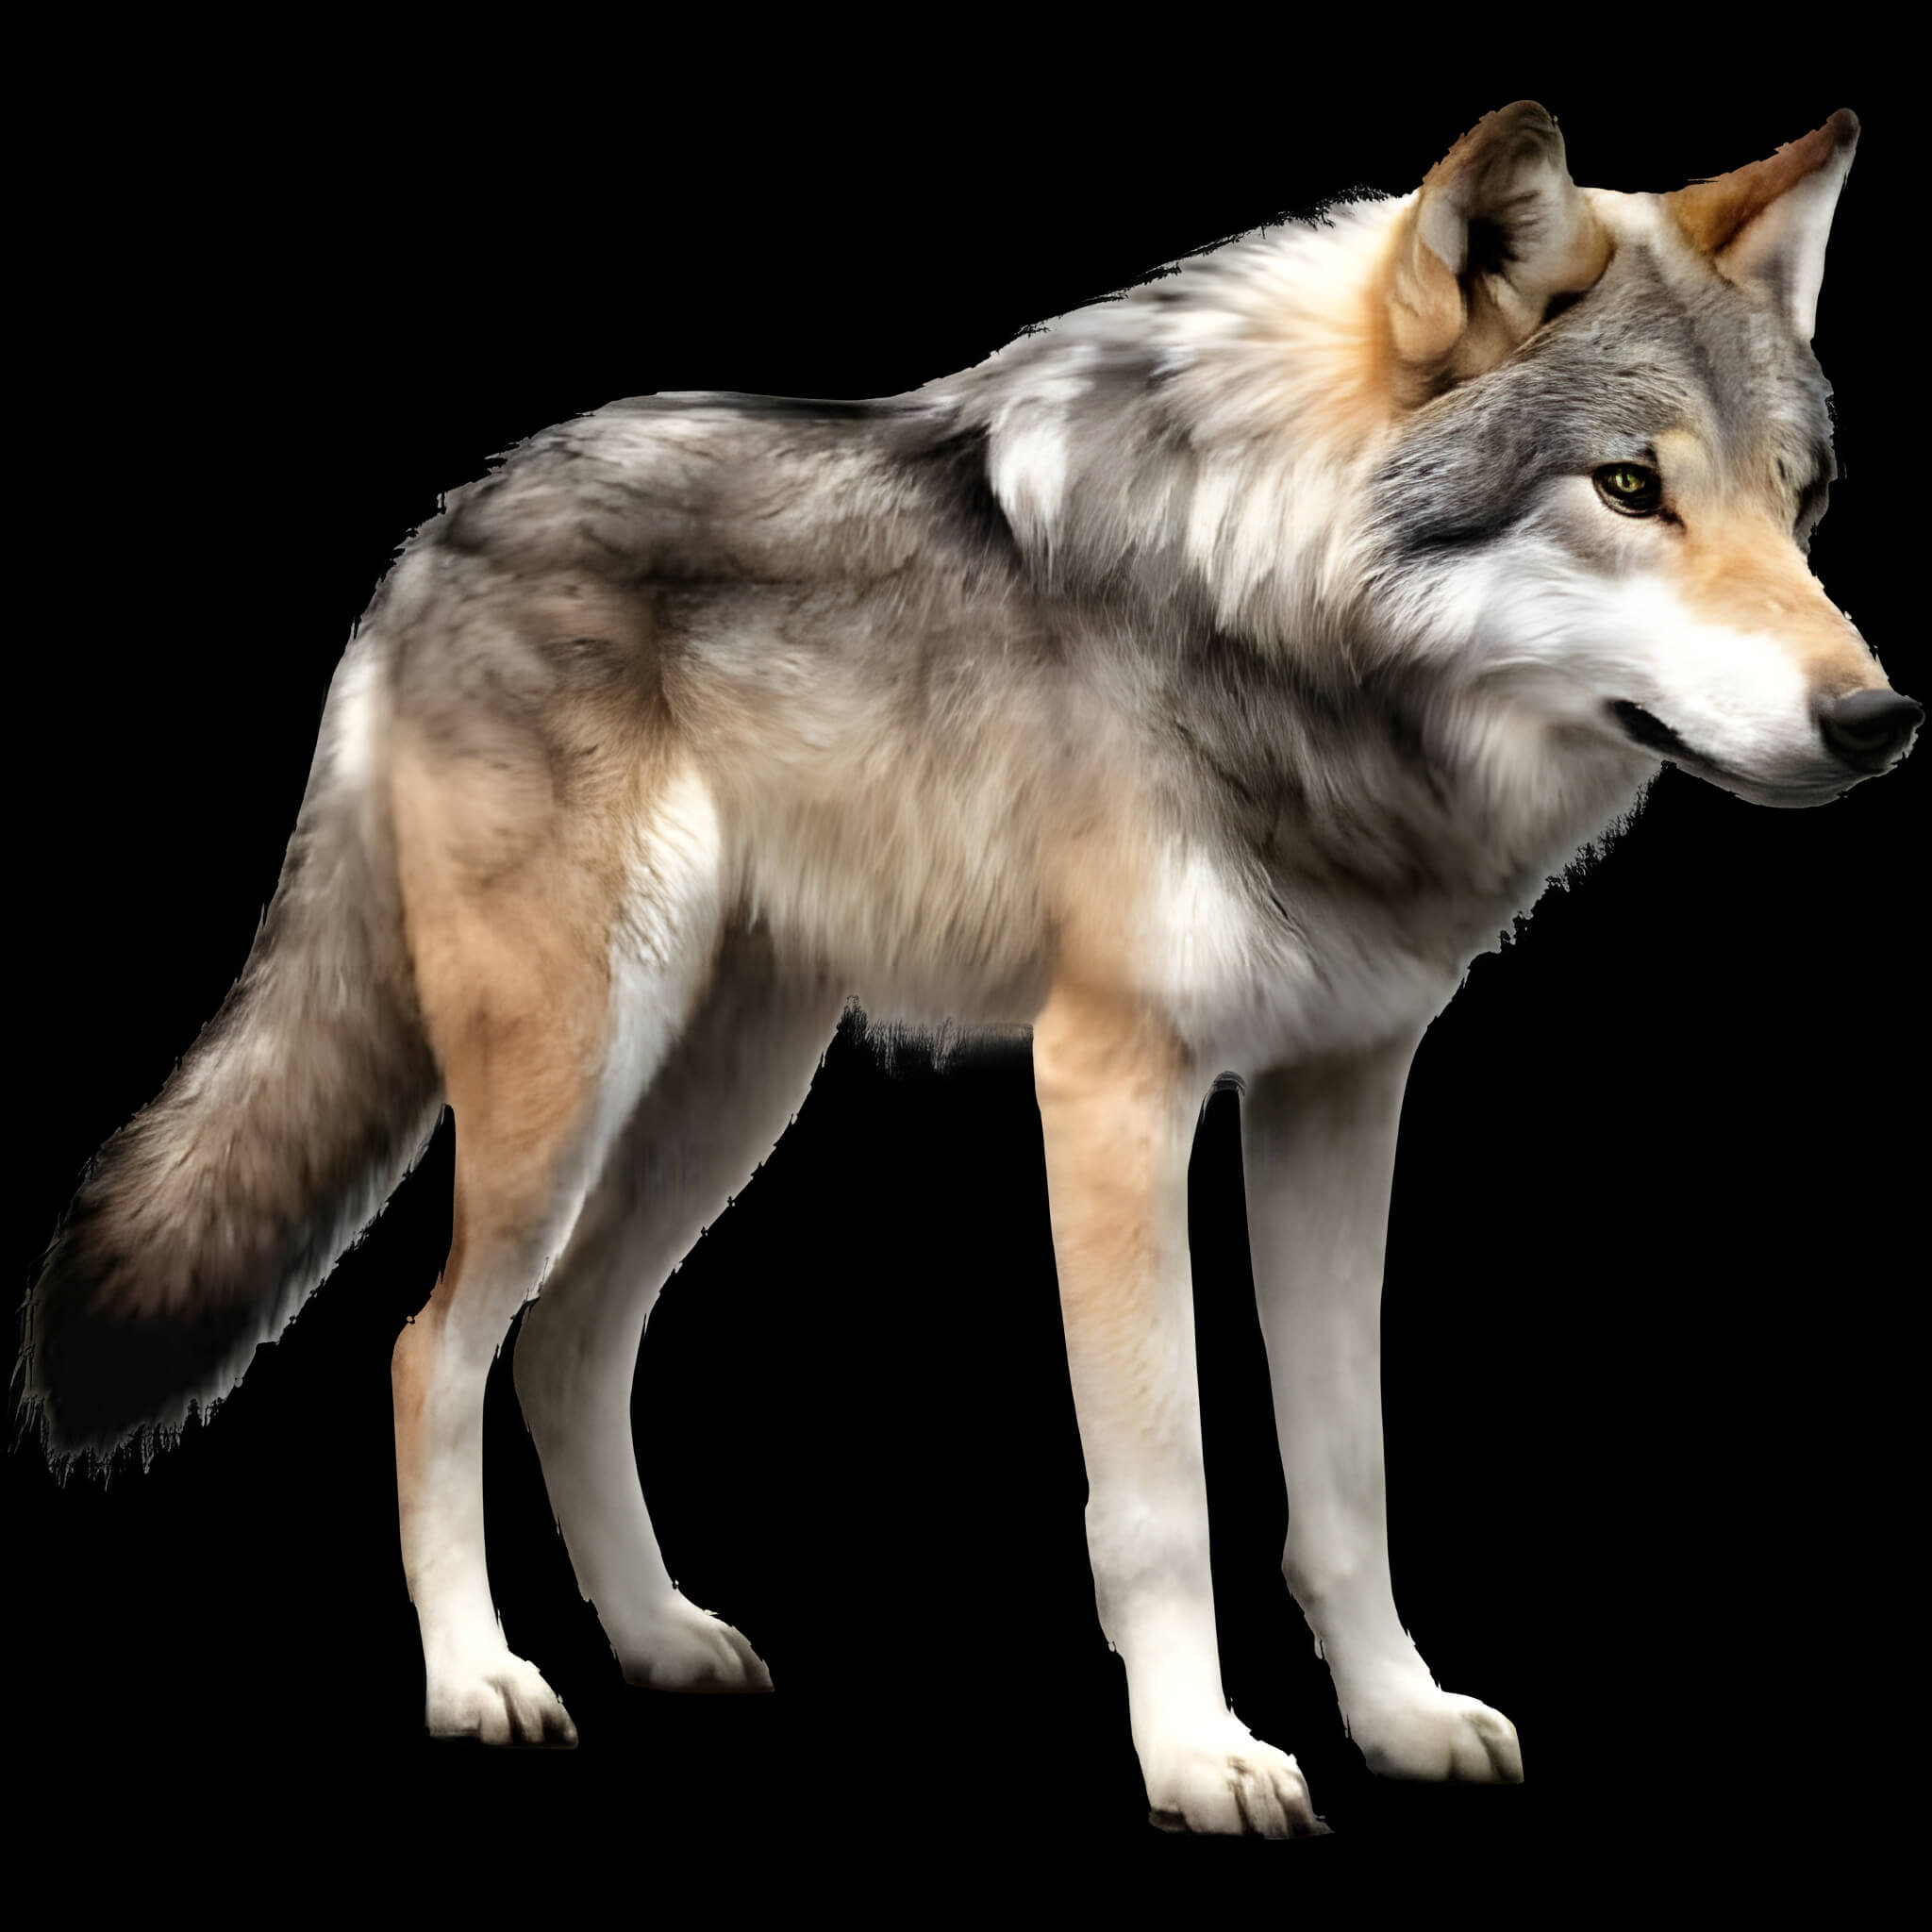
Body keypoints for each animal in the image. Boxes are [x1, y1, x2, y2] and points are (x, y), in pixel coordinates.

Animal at [19, 102, 1915, 1837]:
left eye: (1800, 500)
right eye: (1628, 487)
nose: (1877, 720)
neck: (1284, 630)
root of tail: (436, 535)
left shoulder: (1338, 1090)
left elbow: (1345, 1473)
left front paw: (1396, 1714)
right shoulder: (1112, 1085)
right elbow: (1160, 1492)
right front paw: (1199, 1757)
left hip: (731, 1093)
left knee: (564, 1346)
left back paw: (659, 1638)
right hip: (564, 1081)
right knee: (432, 1350)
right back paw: (480, 1677)